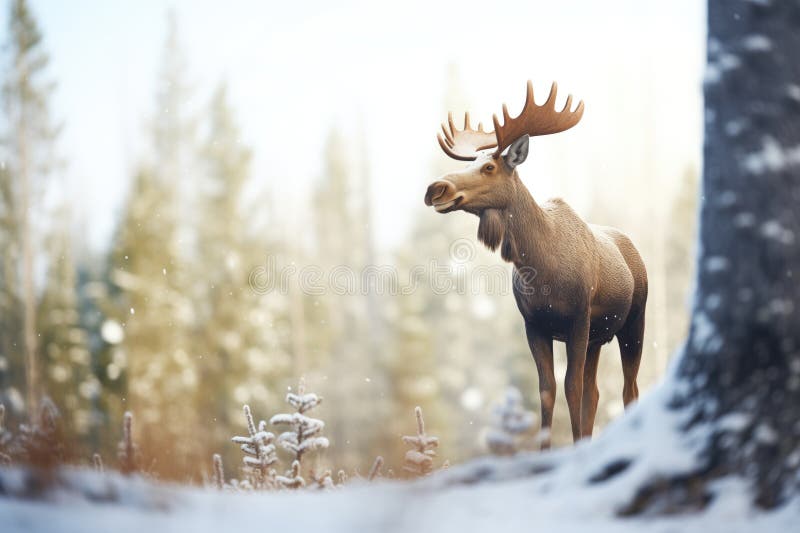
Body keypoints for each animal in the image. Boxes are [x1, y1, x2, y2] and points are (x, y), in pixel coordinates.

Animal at [424, 81, 648, 449]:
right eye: (473, 162)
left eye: (490, 167)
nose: (435, 188)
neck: (541, 267)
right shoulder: (534, 324)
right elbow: (547, 391)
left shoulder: (578, 319)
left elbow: (571, 388)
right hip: (598, 338)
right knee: (596, 393)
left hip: (634, 322)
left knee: (629, 389)